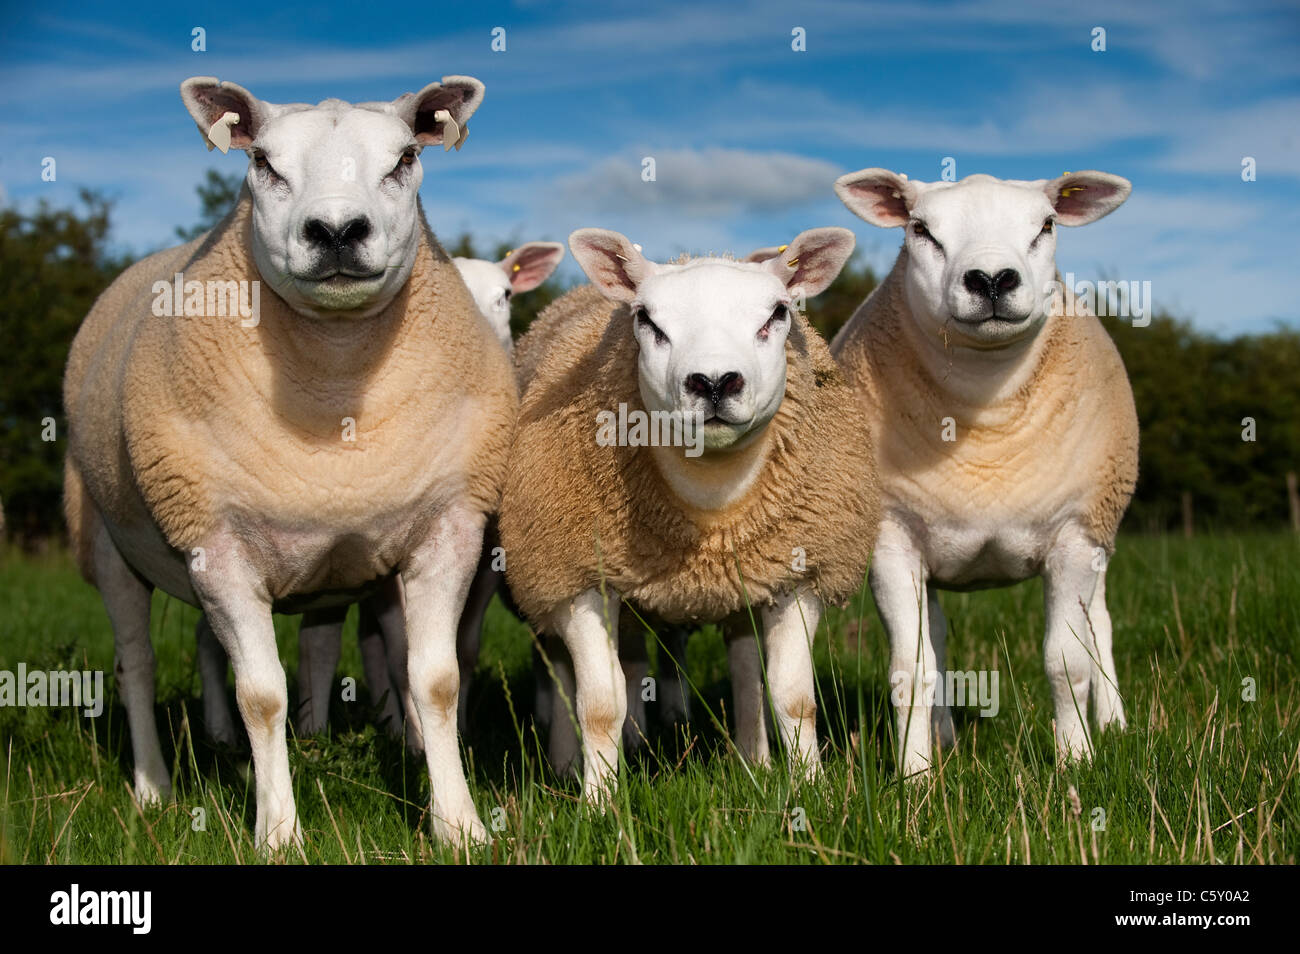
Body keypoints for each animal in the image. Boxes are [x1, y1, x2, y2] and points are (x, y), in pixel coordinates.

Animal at [63, 75, 517, 848]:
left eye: (405, 158)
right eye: (263, 163)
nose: (335, 231)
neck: (336, 386)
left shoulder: (448, 528)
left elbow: (435, 679)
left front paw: (458, 824)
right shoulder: (217, 545)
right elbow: (262, 695)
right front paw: (277, 833)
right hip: (105, 539)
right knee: (136, 666)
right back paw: (152, 790)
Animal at [196, 243, 565, 748]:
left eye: (505, 294)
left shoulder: (486, 555)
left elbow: (464, 647)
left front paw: (457, 729)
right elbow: (402, 648)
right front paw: (423, 740)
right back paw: (226, 731)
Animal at [496, 226, 879, 799]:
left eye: (778, 313)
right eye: (646, 319)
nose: (715, 382)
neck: (710, 501)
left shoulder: (798, 574)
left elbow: (793, 697)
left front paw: (813, 791)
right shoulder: (581, 580)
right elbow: (600, 704)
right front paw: (600, 803)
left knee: (741, 668)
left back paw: (753, 760)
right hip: (542, 573)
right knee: (565, 669)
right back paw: (571, 761)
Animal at [829, 168, 1138, 776]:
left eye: (1046, 225)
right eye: (921, 230)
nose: (992, 279)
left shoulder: (1075, 535)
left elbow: (1068, 661)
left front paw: (1076, 762)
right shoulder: (891, 538)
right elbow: (913, 668)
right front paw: (915, 774)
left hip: (1102, 535)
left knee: (1104, 627)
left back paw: (1114, 723)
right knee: (939, 637)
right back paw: (945, 737)